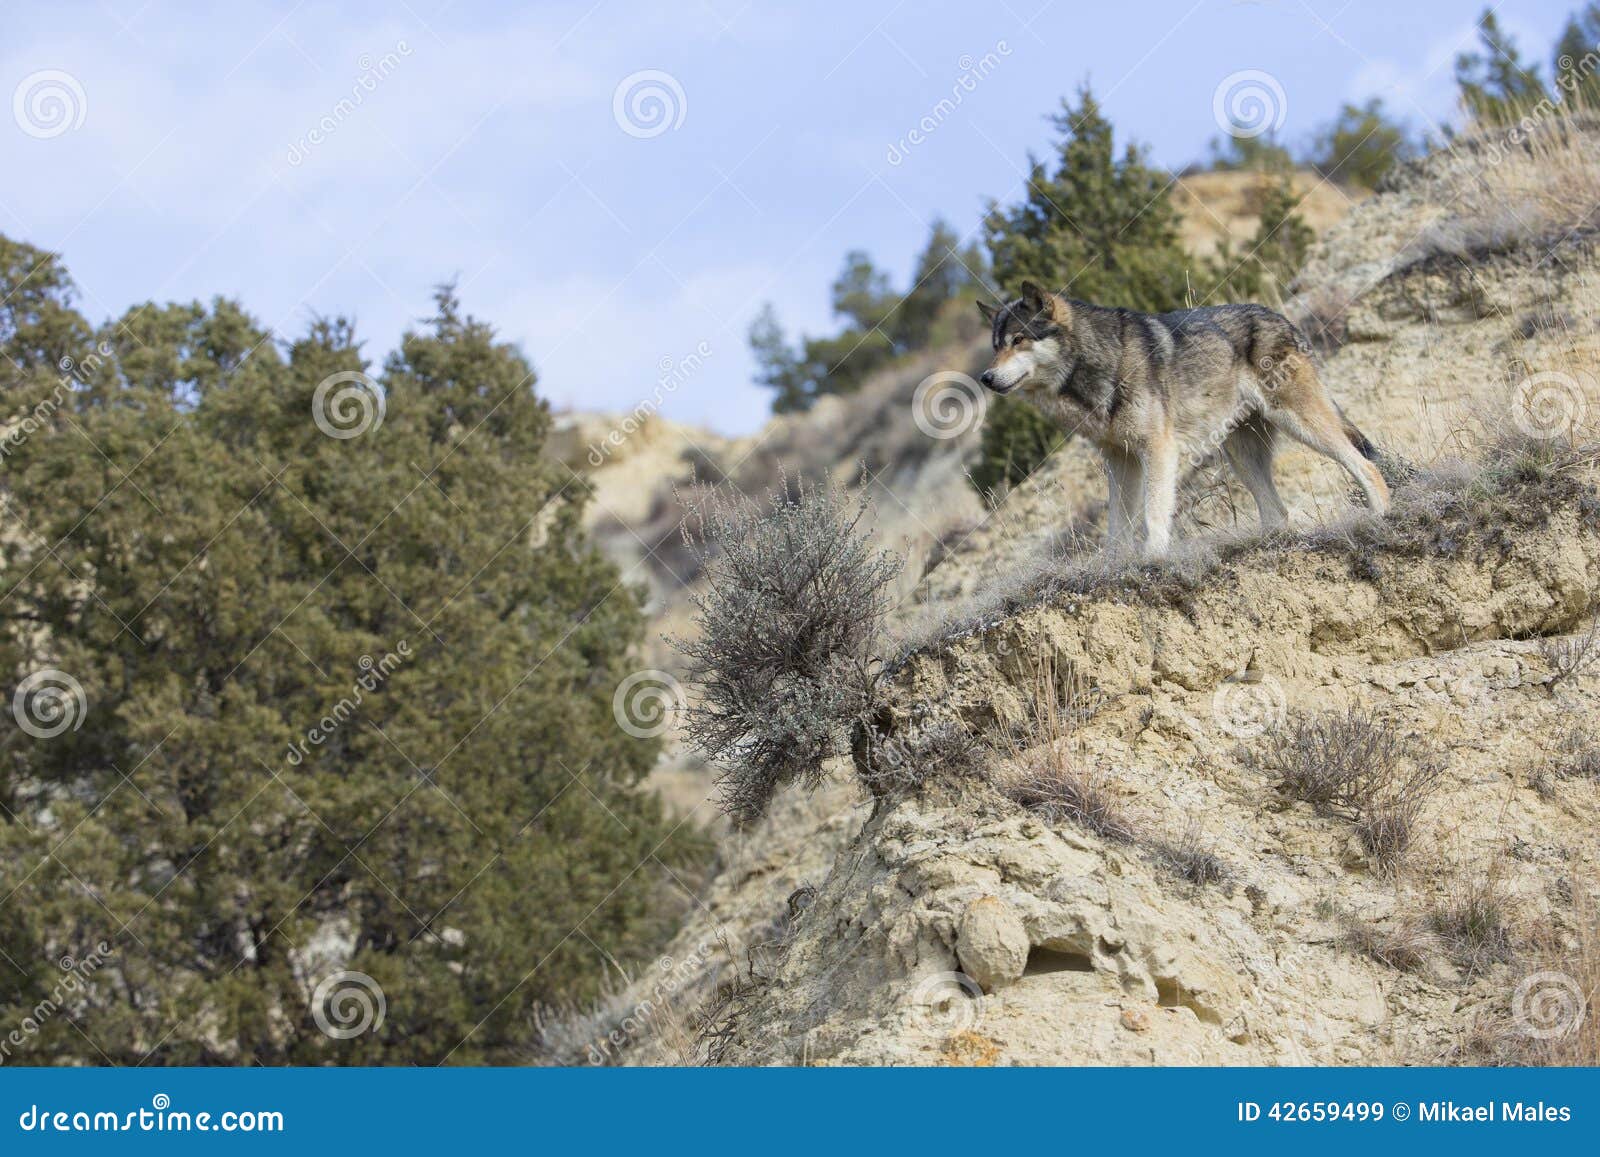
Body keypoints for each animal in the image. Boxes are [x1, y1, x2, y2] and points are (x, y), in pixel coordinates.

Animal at [976, 281, 1388, 556]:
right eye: (996, 346)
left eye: (1018, 340)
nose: (986, 378)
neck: (1095, 365)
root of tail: (1281, 317)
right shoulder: (1120, 459)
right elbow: (1116, 527)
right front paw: (1113, 566)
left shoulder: (1158, 450)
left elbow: (1153, 513)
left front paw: (1153, 559)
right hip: (1241, 456)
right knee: (1278, 511)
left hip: (1301, 424)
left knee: (1366, 465)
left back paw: (1381, 514)